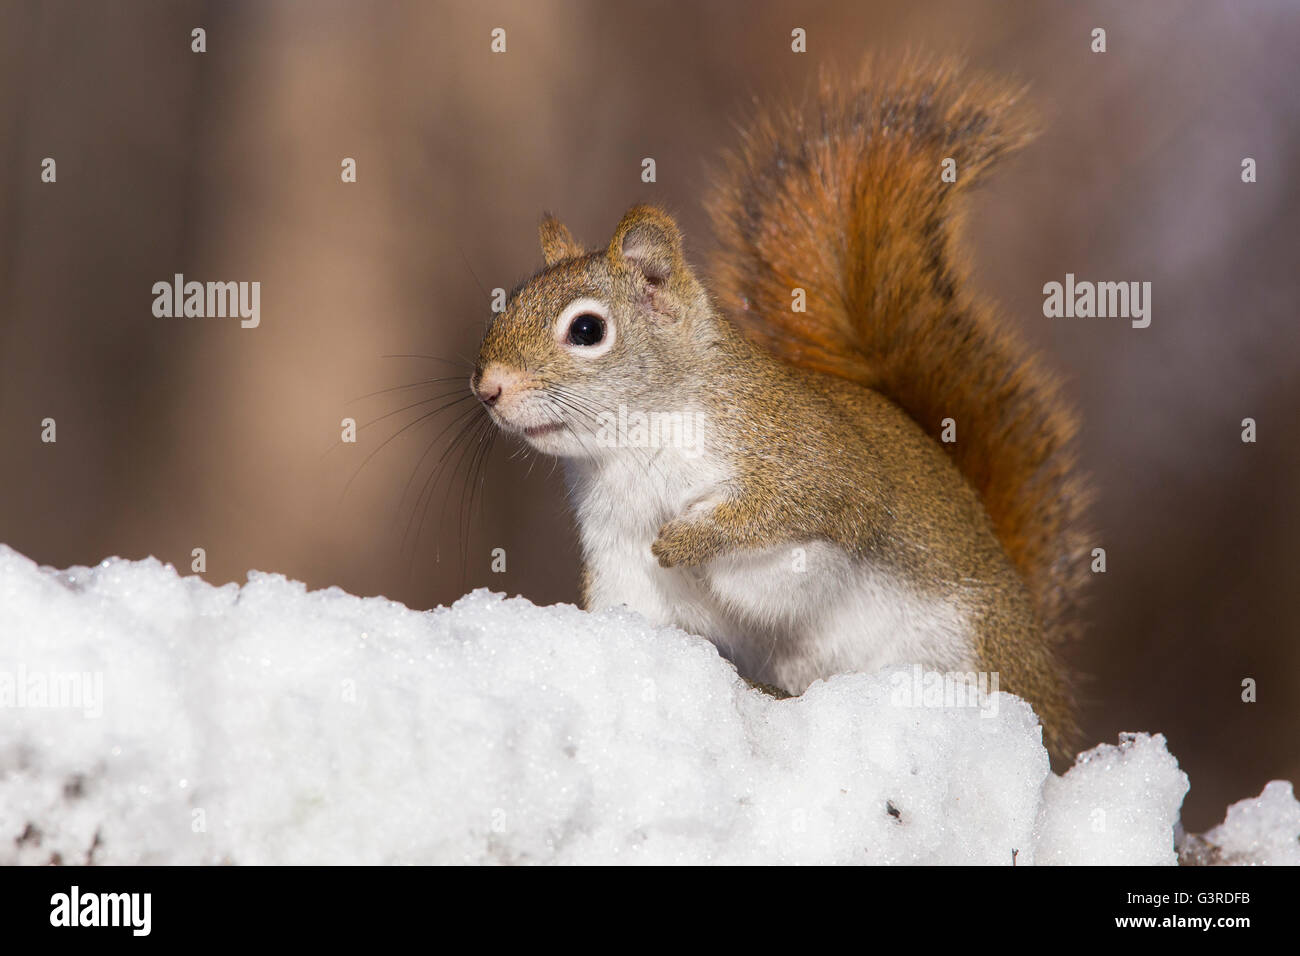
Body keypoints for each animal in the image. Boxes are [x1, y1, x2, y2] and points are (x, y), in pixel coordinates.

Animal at [471, 58, 1090, 761]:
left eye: (586, 330)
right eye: (511, 298)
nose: (487, 389)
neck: (631, 445)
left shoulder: (810, 465)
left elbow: (803, 519)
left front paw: (693, 538)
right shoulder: (618, 550)